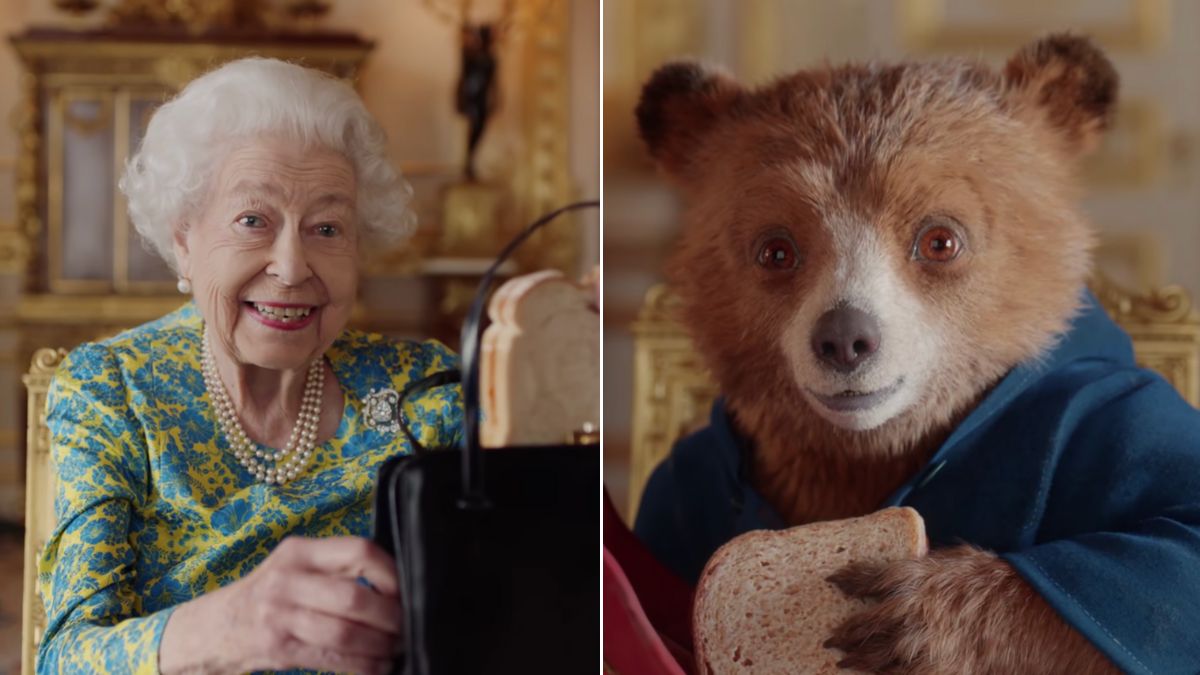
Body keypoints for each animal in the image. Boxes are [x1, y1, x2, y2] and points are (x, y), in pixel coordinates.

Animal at [632, 33, 1200, 674]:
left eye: (940, 239)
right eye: (775, 249)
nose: (845, 339)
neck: (868, 451)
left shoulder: (1106, 414)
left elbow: (1166, 548)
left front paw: (916, 617)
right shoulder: (680, 487)